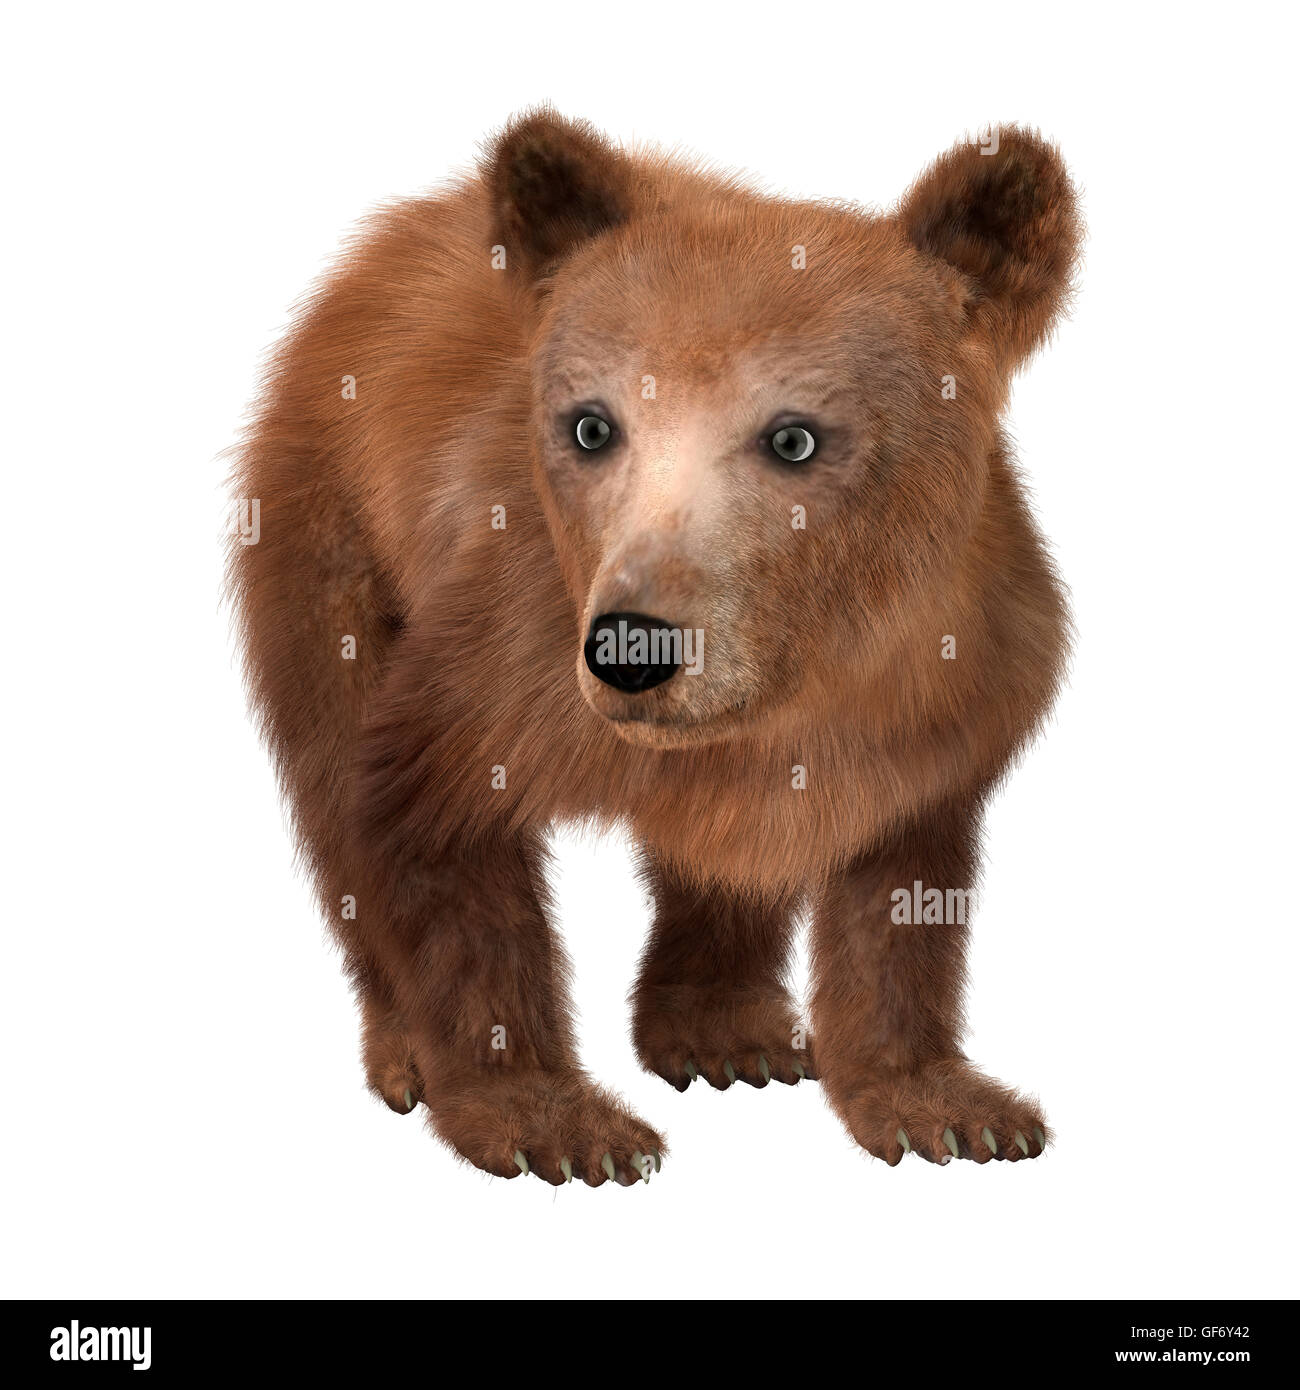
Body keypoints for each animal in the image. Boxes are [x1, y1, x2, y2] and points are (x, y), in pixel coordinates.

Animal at [229, 110, 1080, 1184]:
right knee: (330, 757)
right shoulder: (508, 650)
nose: (632, 648)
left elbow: (901, 876)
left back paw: (729, 1033)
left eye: (794, 437)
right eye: (592, 425)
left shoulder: (945, 682)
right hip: (328, 529)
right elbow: (422, 824)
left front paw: (946, 1103)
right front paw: (549, 1117)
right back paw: (404, 1050)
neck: (794, 681)